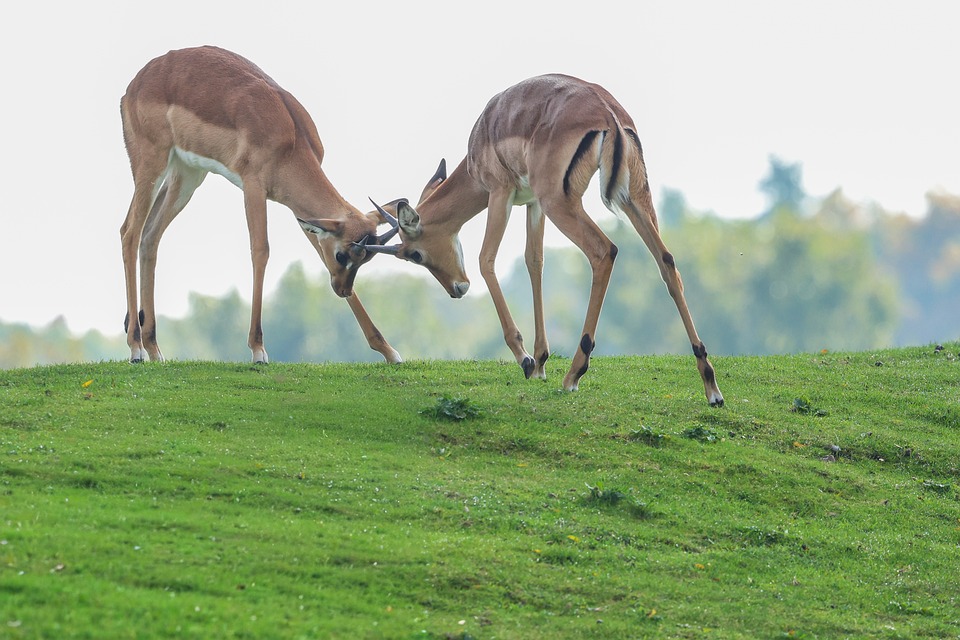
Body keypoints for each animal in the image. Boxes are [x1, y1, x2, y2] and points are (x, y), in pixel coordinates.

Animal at [119, 46, 400, 364]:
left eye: (366, 258)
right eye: (343, 255)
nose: (341, 289)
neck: (291, 138)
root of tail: (138, 81)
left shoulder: (303, 215)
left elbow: (317, 256)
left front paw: (389, 351)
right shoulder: (253, 187)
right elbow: (260, 251)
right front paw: (258, 350)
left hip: (187, 175)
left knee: (150, 236)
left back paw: (154, 349)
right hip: (151, 165)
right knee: (129, 232)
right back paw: (136, 347)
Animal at [367, 74, 724, 406]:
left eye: (414, 254)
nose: (458, 289)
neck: (480, 143)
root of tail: (607, 113)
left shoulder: (501, 193)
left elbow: (486, 259)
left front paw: (524, 358)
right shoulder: (532, 203)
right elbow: (534, 261)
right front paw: (539, 362)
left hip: (561, 202)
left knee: (604, 251)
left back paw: (574, 375)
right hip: (632, 197)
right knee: (667, 262)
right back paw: (711, 387)